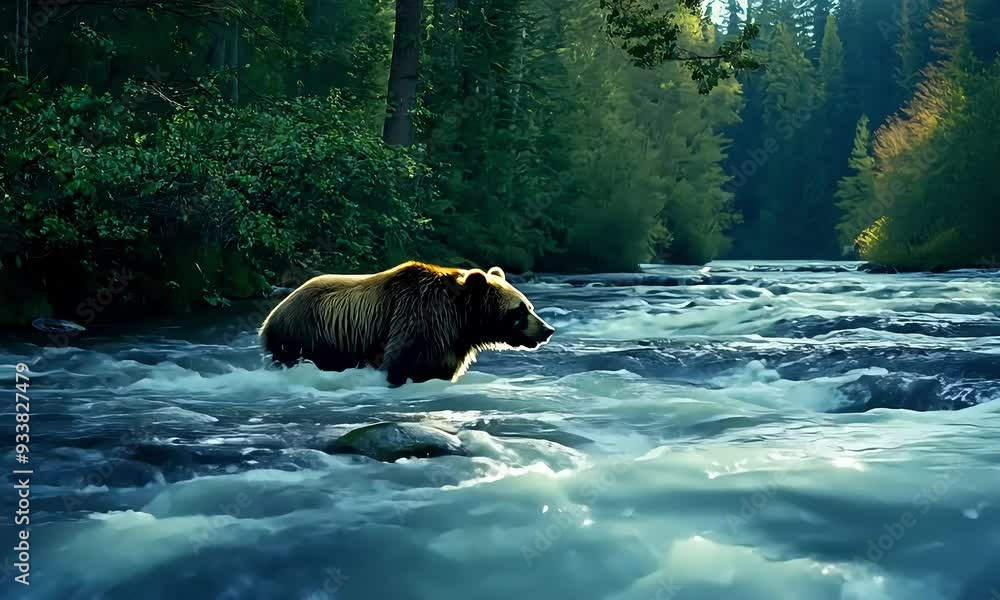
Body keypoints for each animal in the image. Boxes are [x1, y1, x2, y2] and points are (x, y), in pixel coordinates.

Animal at [258, 261, 555, 385]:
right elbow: (405, 362)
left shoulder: (448, 341)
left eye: (530, 306)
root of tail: (270, 315)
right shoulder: (416, 317)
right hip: (307, 334)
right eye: (520, 310)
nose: (548, 330)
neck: (460, 322)